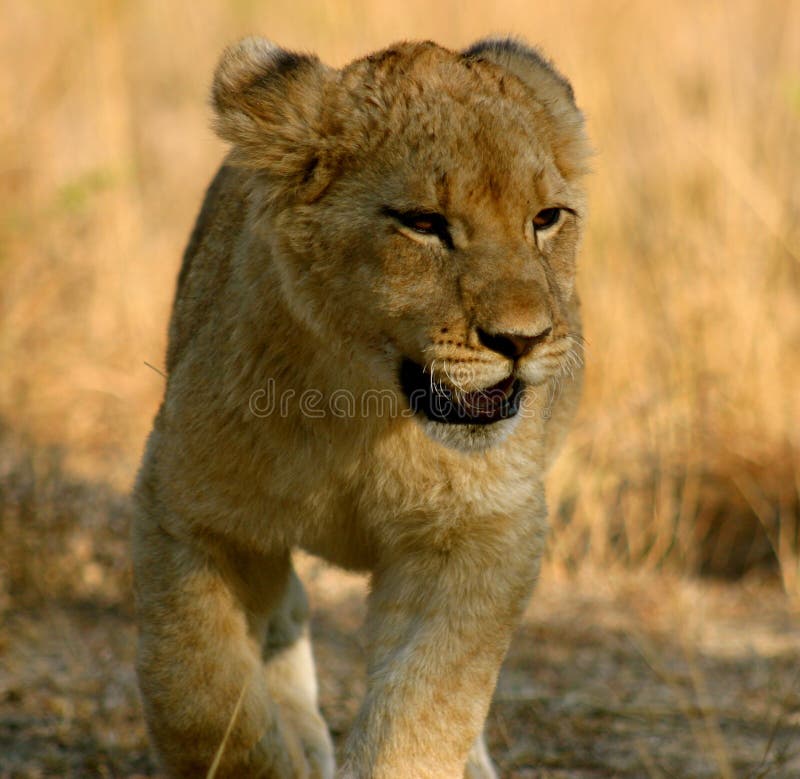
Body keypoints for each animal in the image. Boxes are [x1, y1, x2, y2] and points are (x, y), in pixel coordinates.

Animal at [132, 36, 590, 778]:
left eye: (547, 219)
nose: (522, 340)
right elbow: (197, 689)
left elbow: (423, 711)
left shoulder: (482, 532)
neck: (366, 409)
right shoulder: (185, 505)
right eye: (424, 224)